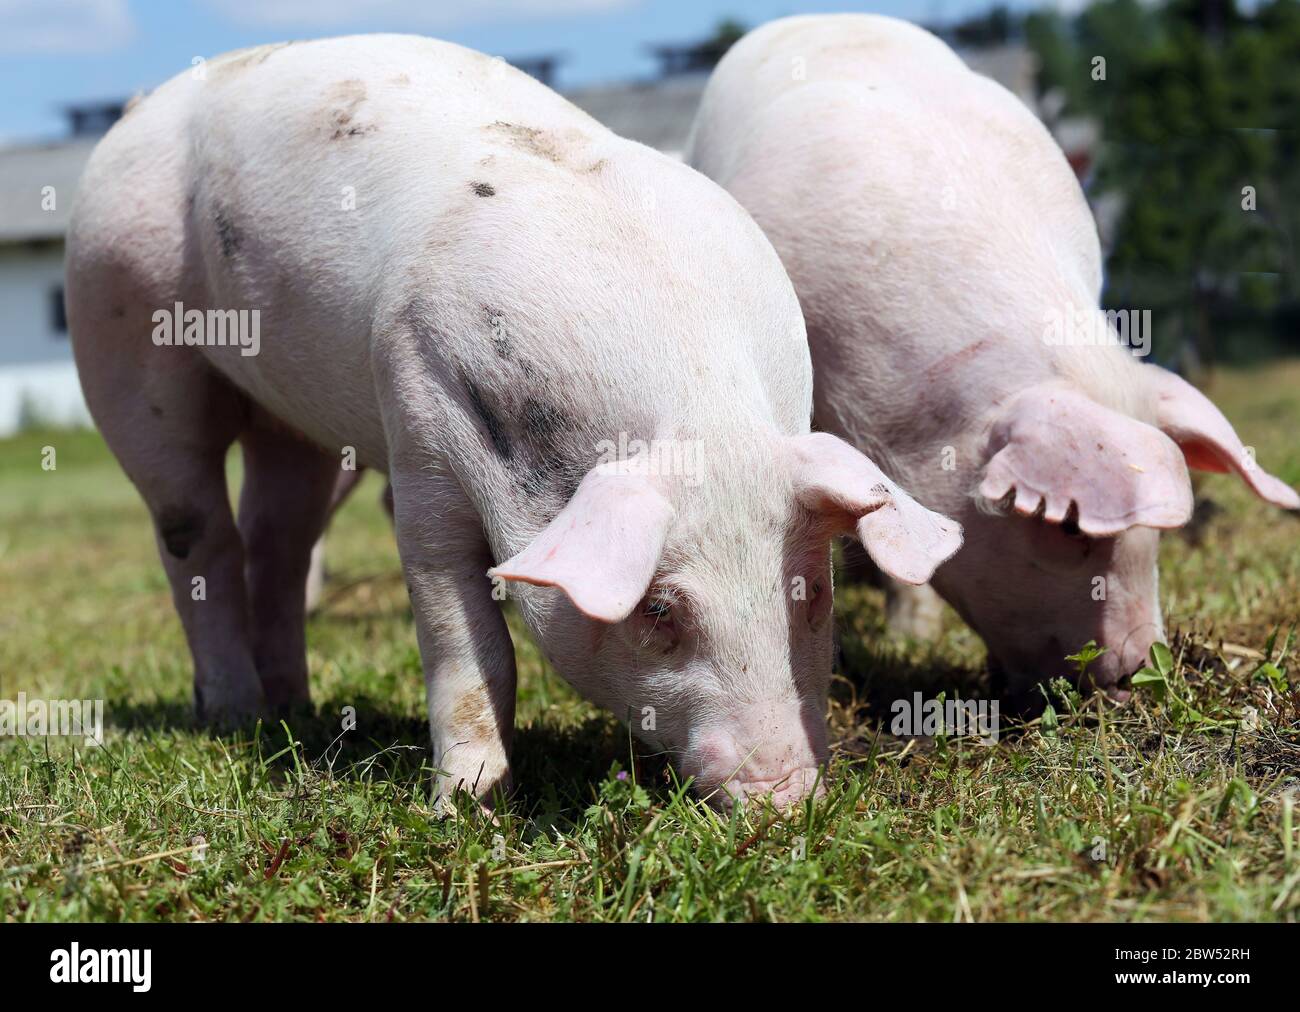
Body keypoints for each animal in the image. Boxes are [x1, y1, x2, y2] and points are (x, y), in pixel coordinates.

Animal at [65, 34, 963, 809]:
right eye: (659, 609)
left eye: (811, 591)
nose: (781, 796)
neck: (694, 396)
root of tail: (140, 109)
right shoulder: (418, 415)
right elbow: (467, 641)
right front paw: (467, 805)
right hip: (121, 323)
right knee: (194, 533)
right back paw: (235, 714)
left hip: (287, 417)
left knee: (277, 540)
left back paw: (297, 709)